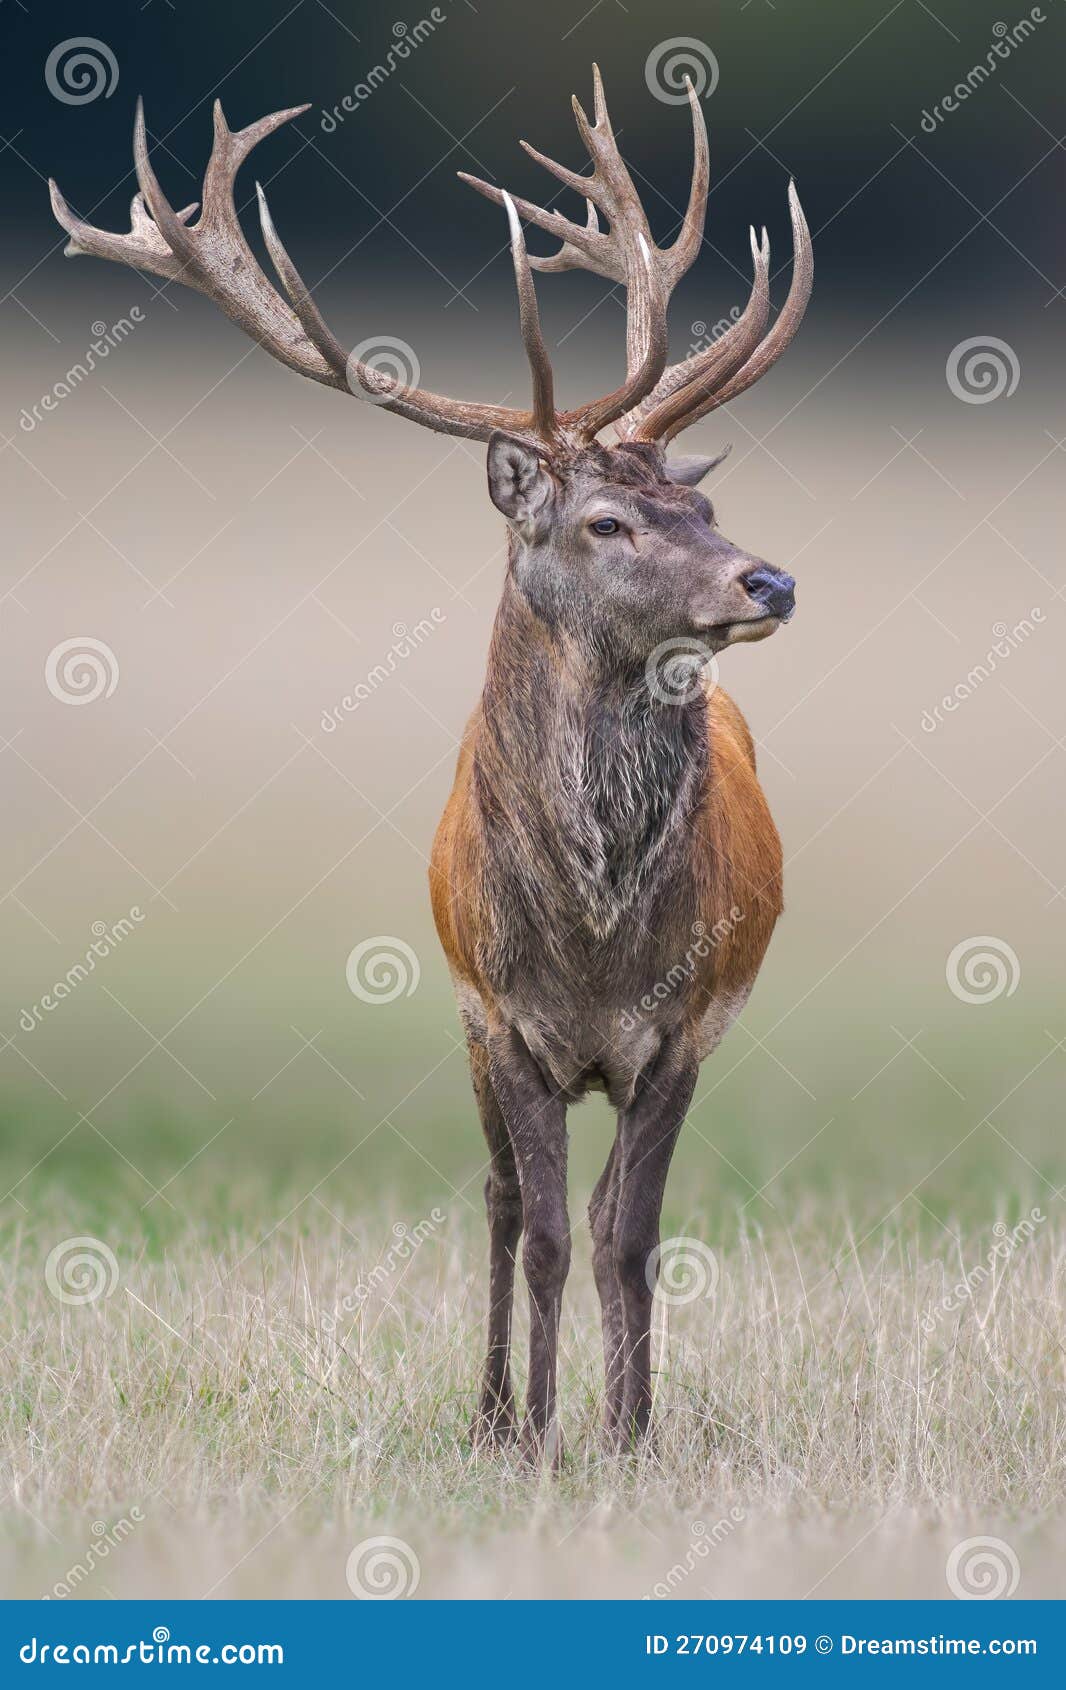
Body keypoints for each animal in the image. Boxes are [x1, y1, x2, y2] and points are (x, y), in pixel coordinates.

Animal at [51, 65, 811, 1461]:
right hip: (467, 1020)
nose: (768, 580)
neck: (593, 936)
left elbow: (630, 1234)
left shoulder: (684, 1024)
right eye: (604, 520)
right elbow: (549, 1229)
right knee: (503, 1199)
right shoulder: (500, 1015)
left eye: (704, 507)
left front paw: (630, 1433)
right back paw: (494, 1412)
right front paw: (545, 1433)